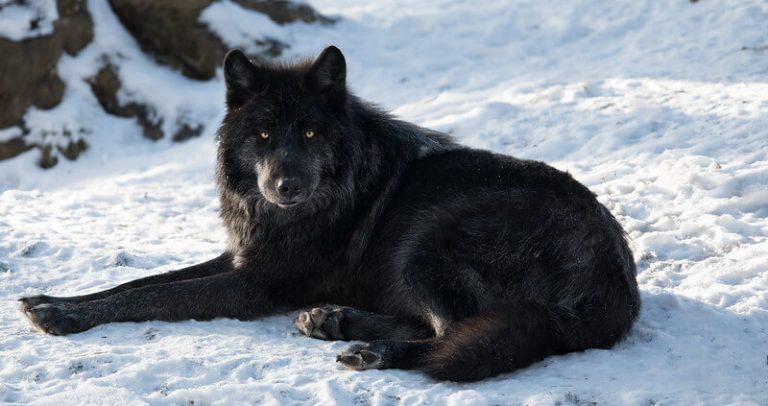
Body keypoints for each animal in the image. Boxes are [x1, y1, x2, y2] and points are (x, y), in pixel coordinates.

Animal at [20, 46, 640, 382]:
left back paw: (371, 350)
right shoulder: (240, 257)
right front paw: (51, 299)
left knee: (456, 330)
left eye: (311, 134)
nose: (286, 185)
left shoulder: (258, 284)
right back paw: (333, 321)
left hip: (427, 239)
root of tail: (615, 281)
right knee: (442, 324)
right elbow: (138, 282)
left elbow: (152, 296)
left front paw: (62, 315)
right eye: (263, 135)